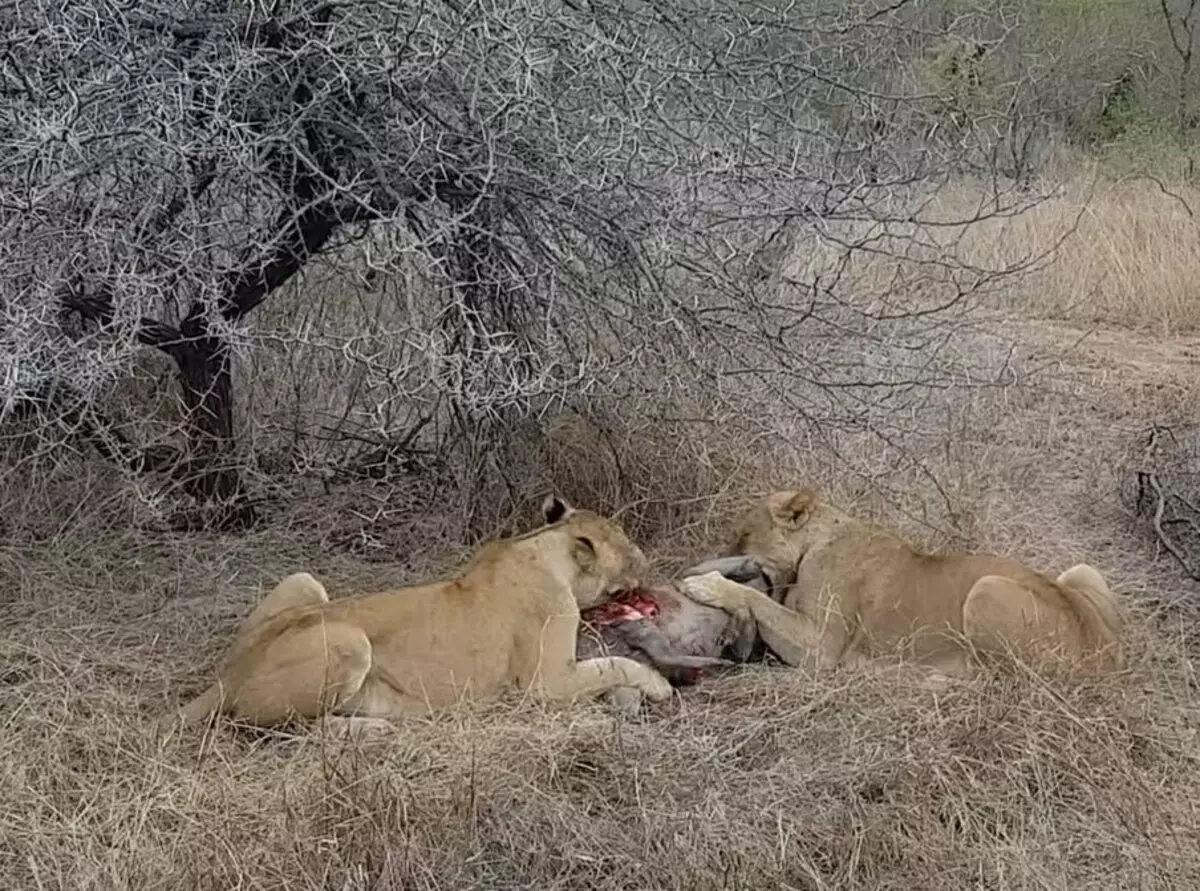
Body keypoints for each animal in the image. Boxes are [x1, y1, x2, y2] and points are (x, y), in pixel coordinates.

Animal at [166, 494, 676, 734]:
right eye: (628, 543)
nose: (648, 560)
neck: (540, 546)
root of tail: (229, 674)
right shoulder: (544, 682)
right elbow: (613, 664)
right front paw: (659, 685)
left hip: (304, 580)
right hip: (349, 642)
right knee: (282, 729)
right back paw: (370, 731)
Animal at [681, 492, 1128, 682]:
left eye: (743, 535)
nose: (718, 556)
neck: (814, 543)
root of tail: (1105, 658)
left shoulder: (823, 645)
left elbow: (757, 598)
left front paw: (704, 583)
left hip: (986, 589)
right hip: (1082, 571)